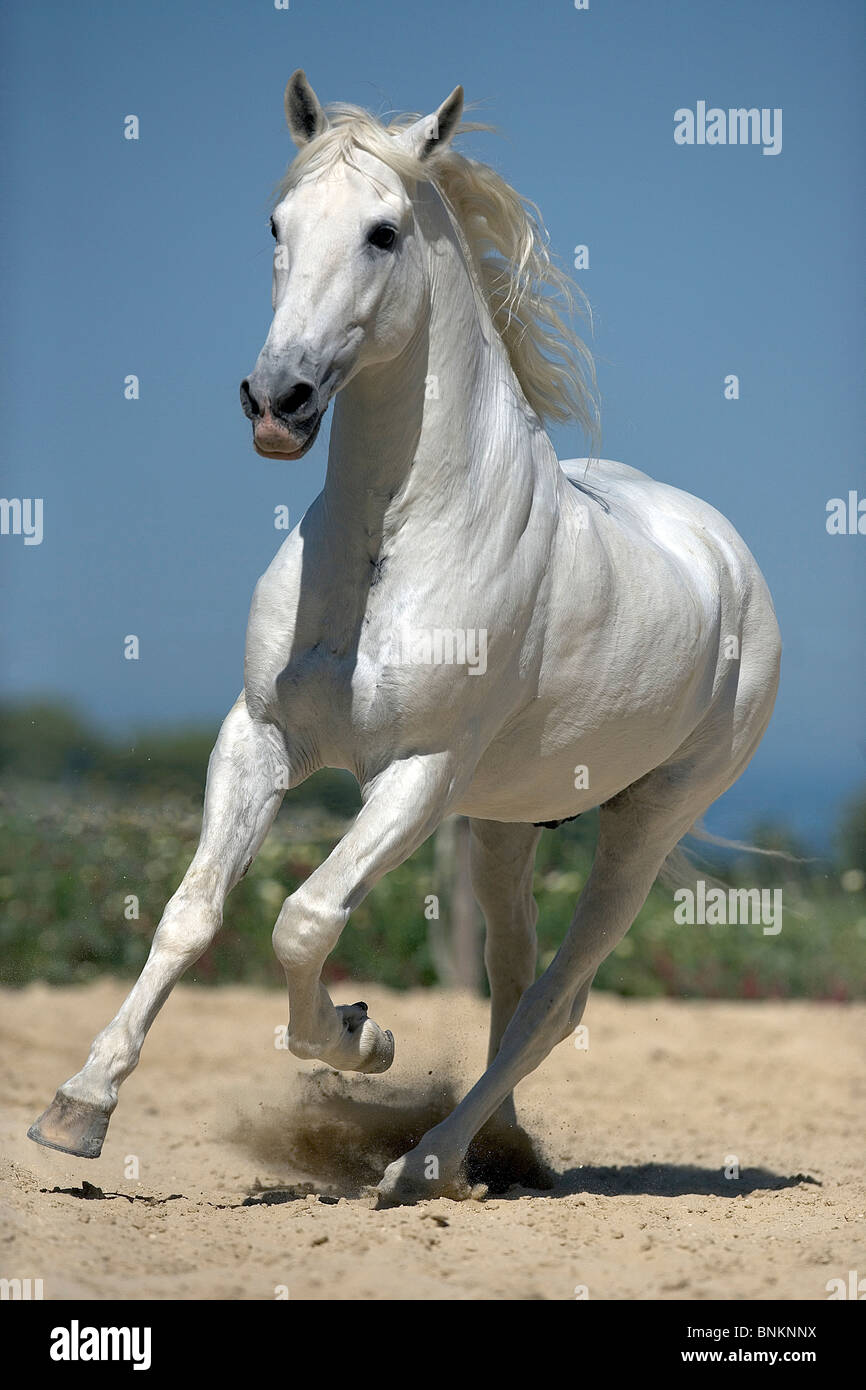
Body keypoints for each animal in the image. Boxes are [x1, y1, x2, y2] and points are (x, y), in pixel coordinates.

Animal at [29, 72, 781, 1203]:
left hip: (645, 824)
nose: (278, 399)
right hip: (509, 821)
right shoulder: (257, 737)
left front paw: (361, 1035)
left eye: (383, 232)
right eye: (277, 224)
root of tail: (724, 554)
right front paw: (78, 1108)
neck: (395, 543)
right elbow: (191, 913)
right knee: (513, 983)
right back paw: (497, 1154)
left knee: (555, 999)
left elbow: (303, 919)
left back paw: (423, 1164)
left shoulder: (417, 773)